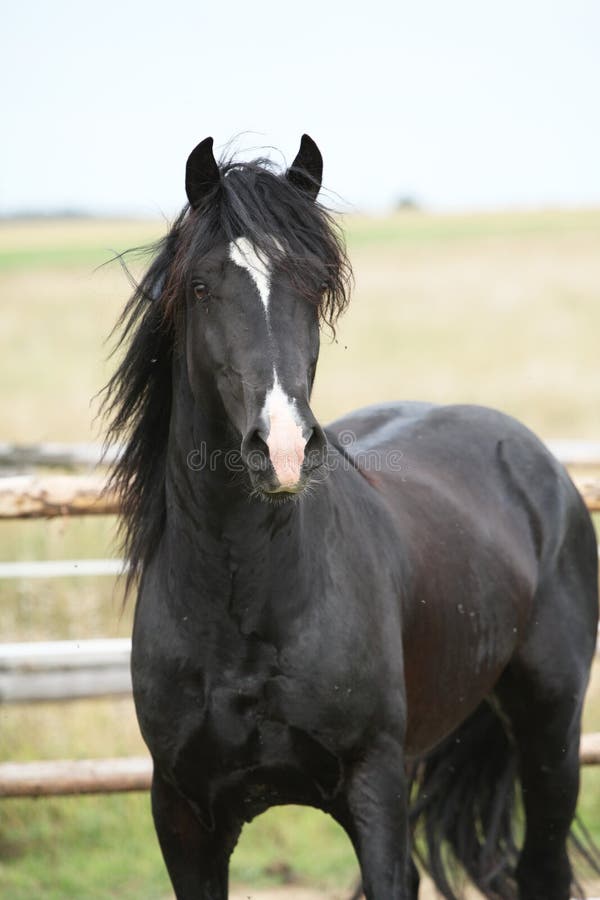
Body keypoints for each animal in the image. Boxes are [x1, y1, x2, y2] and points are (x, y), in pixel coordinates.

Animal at [102, 134, 599, 899]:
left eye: (314, 284)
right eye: (201, 286)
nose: (281, 450)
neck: (244, 608)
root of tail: (534, 459)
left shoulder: (373, 793)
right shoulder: (183, 814)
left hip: (551, 733)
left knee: (541, 868)